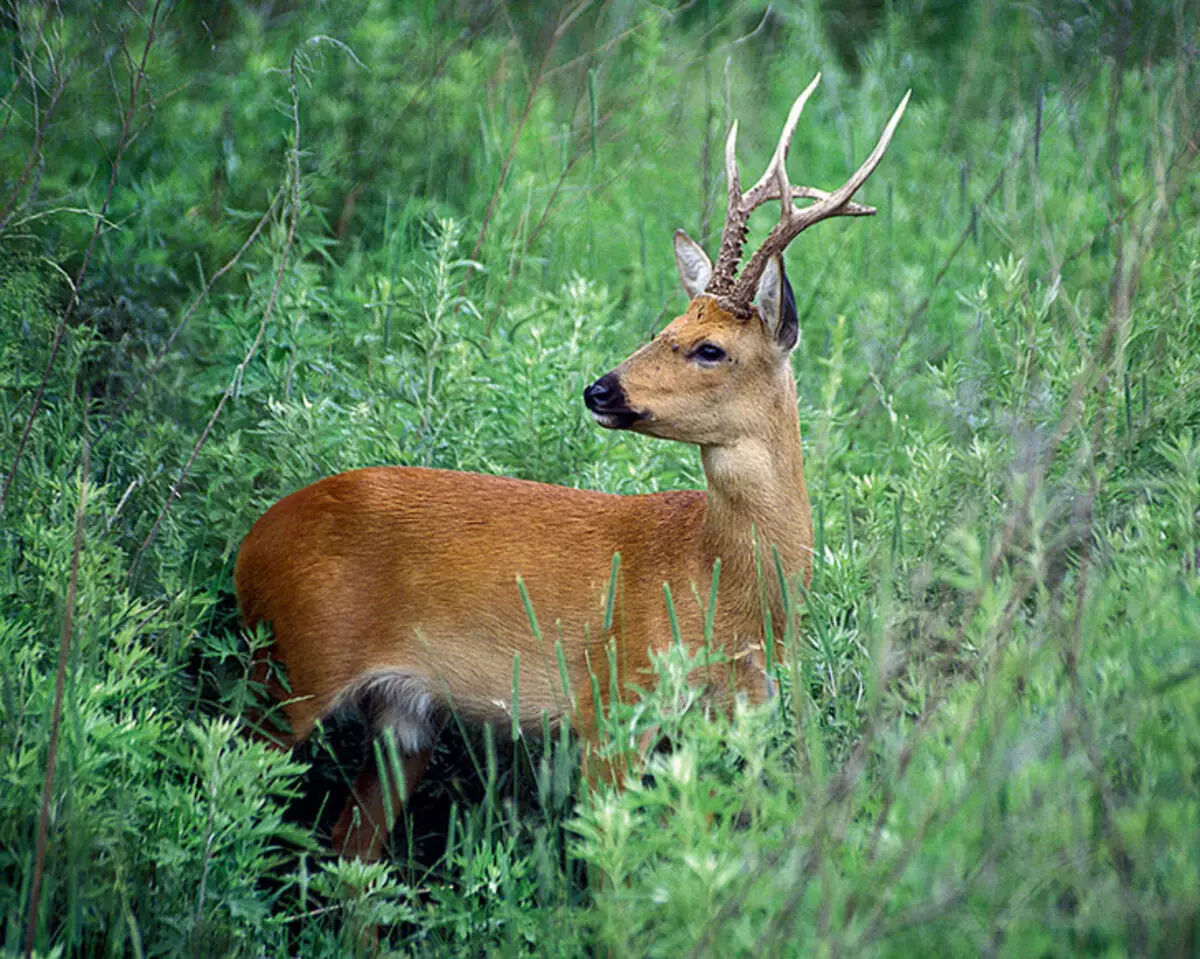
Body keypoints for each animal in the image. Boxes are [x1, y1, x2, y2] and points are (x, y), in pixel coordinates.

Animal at [236, 71, 907, 859]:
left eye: (708, 347)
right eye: (665, 326)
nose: (600, 389)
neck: (723, 583)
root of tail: (250, 545)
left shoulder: (732, 716)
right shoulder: (612, 703)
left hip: (402, 714)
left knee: (352, 849)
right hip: (291, 669)